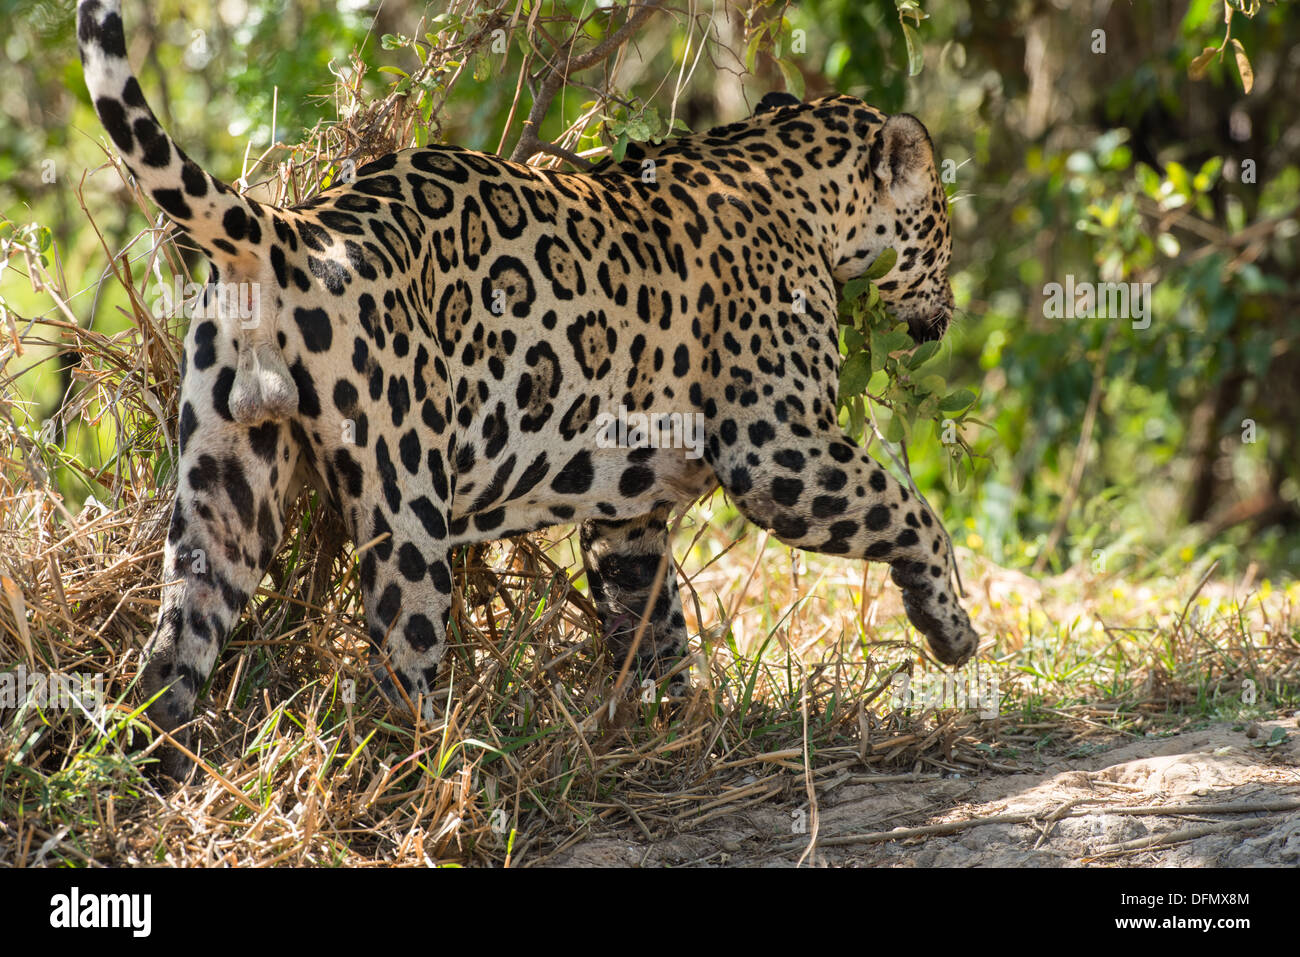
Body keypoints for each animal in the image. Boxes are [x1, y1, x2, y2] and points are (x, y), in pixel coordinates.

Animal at [77, 0, 978, 777]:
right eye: (942, 220)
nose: (947, 316)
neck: (793, 183)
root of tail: (290, 229)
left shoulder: (629, 513)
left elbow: (651, 622)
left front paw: (673, 725)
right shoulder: (778, 448)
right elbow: (911, 509)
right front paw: (951, 627)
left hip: (224, 486)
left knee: (175, 646)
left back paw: (154, 768)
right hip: (406, 498)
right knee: (402, 660)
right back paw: (449, 773)